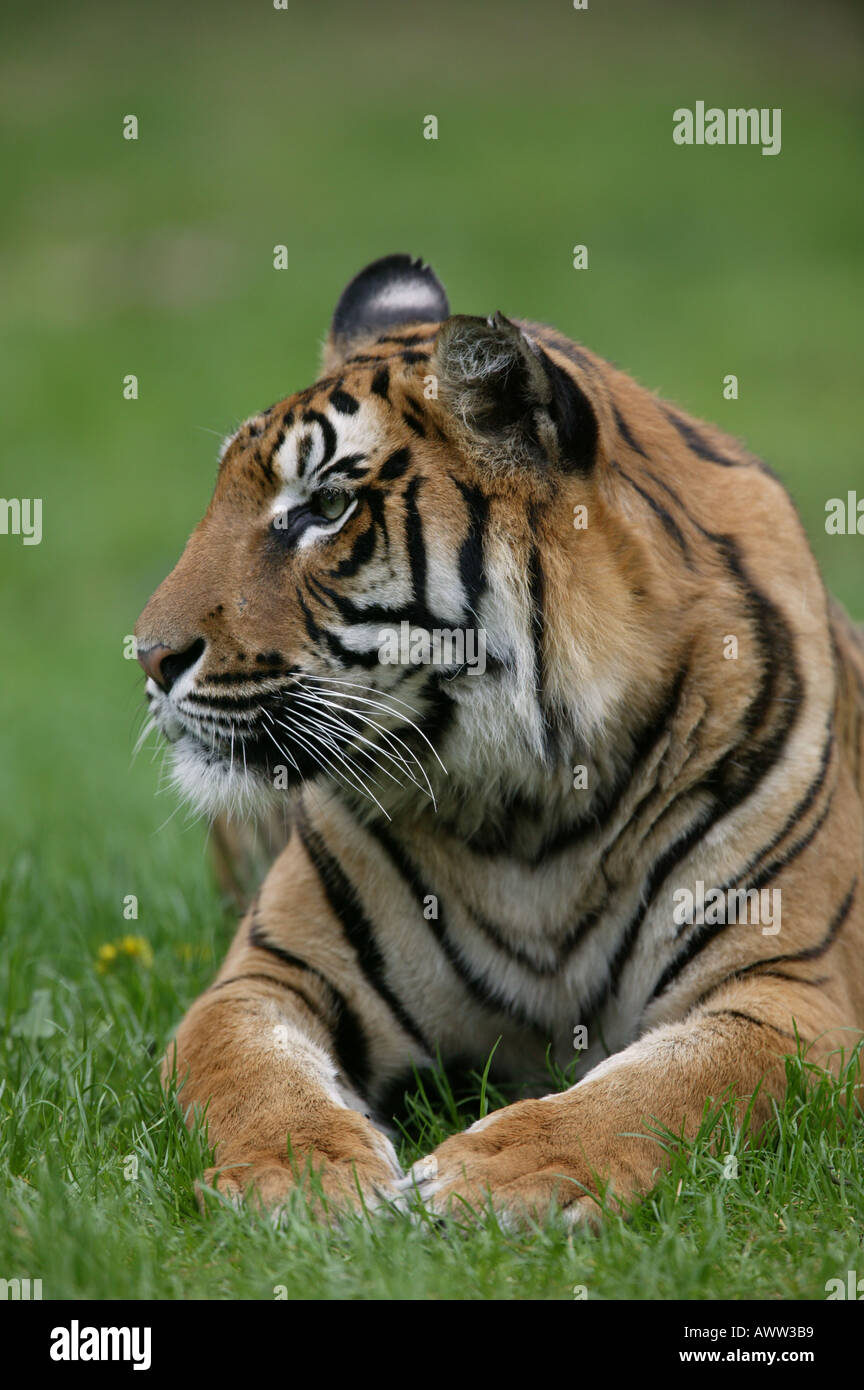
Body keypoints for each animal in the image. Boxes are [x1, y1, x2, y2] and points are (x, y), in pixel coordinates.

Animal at [134, 252, 864, 1225]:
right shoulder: (263, 977)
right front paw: (301, 1177)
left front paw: (501, 1172)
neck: (530, 810)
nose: (147, 656)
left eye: (324, 505)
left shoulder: (789, 994)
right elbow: (252, 1073)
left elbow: (672, 1083)